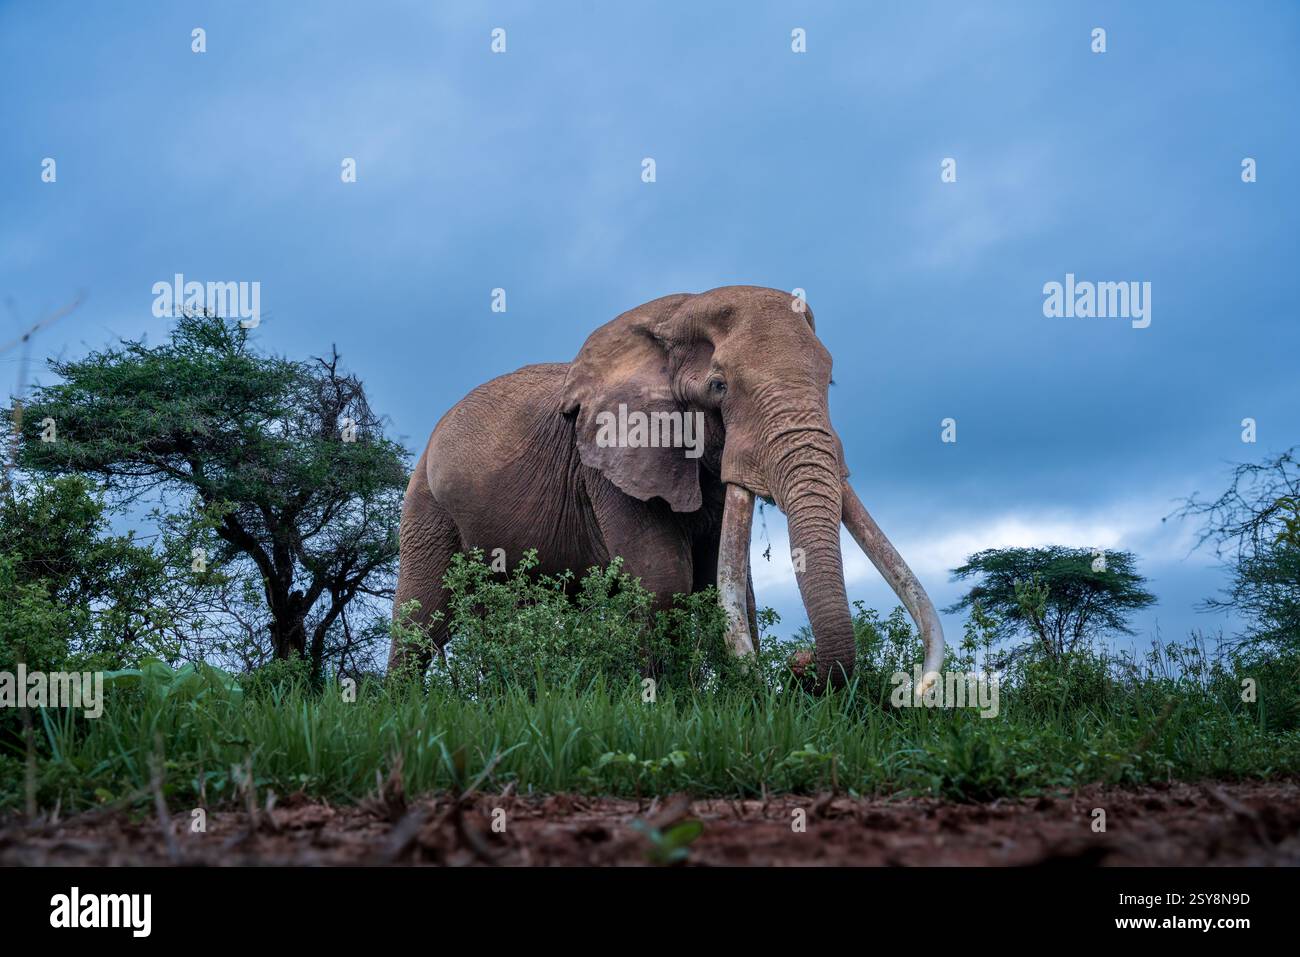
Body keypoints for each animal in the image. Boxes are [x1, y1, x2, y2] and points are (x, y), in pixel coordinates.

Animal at [389, 285, 944, 690]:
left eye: (828, 384)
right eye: (719, 387)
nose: (800, 664)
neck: (676, 314)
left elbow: (727, 588)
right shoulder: (608, 462)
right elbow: (665, 578)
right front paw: (666, 704)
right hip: (426, 504)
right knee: (421, 621)